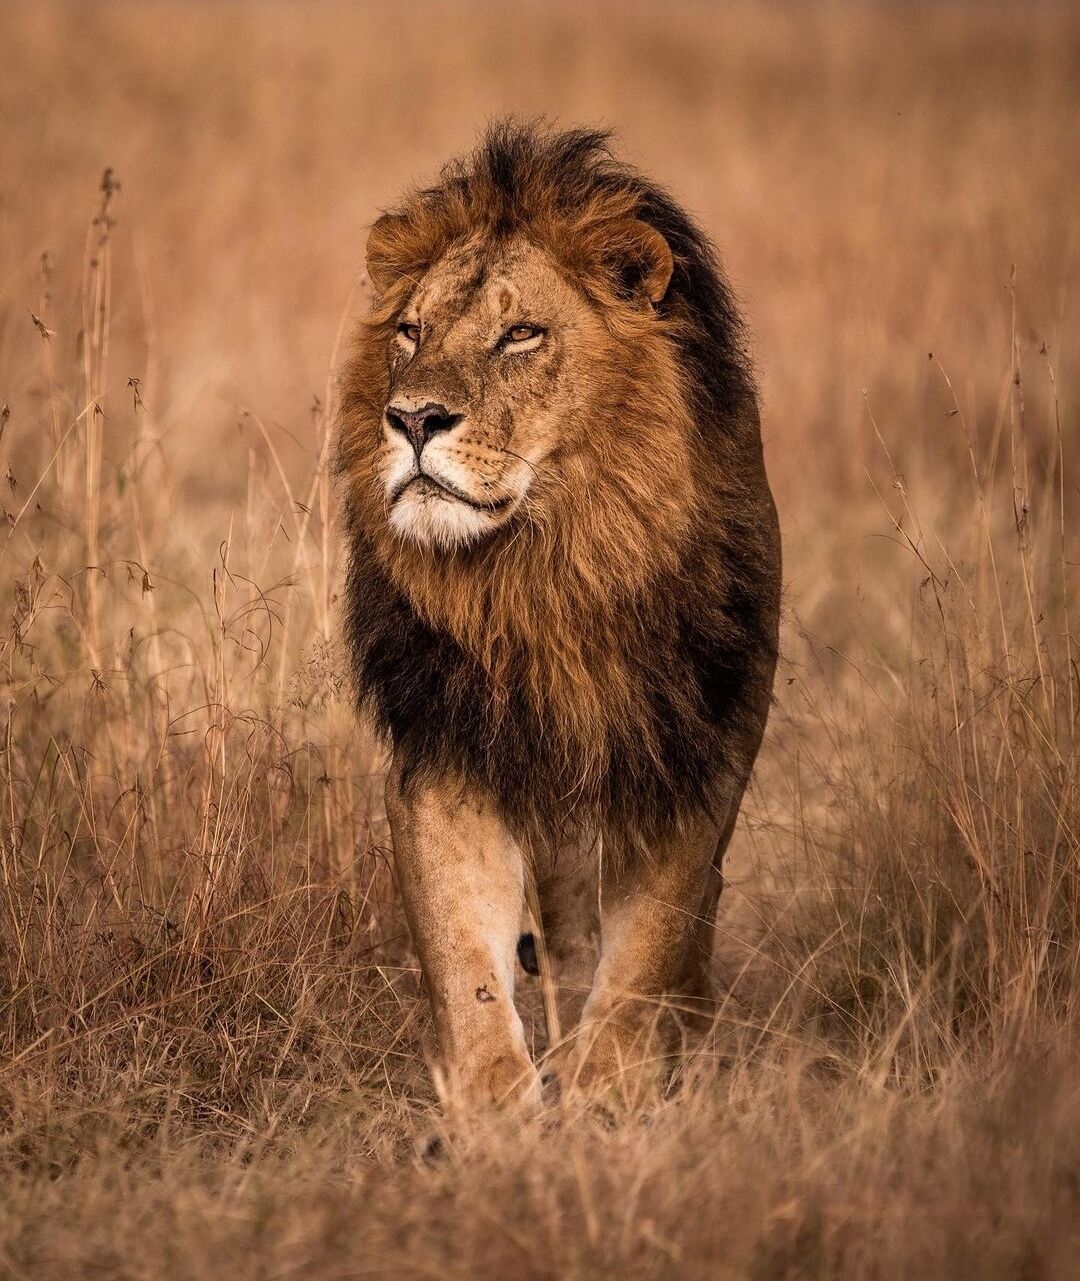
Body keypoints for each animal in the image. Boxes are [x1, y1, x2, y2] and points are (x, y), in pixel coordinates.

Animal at [338, 121, 780, 1110]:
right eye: (411, 331)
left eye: (520, 335)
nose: (411, 419)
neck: (546, 573)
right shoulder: (444, 743)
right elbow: (462, 950)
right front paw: (496, 1105)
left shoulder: (695, 740)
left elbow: (654, 936)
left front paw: (606, 1089)